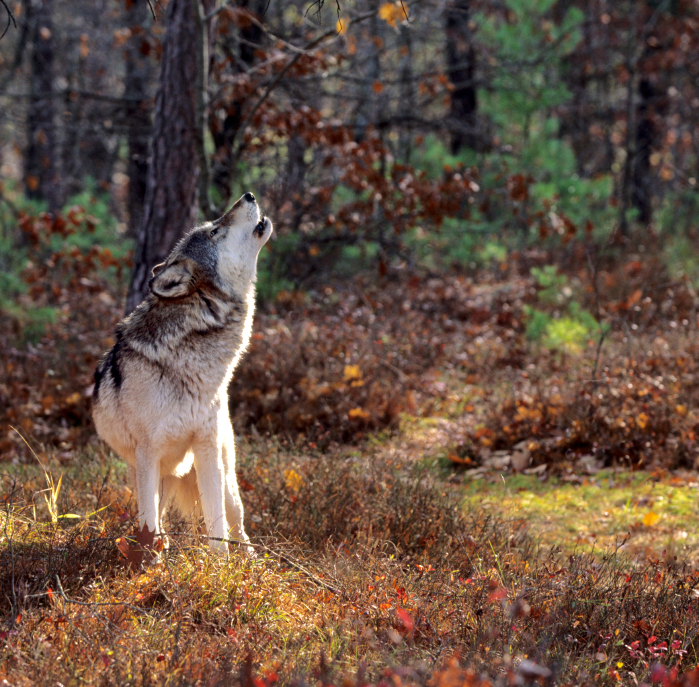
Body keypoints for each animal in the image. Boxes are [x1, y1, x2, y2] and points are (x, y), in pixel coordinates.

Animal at [92, 192, 272, 557]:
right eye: (215, 231)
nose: (248, 195)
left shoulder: (206, 448)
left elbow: (217, 528)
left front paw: (220, 568)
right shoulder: (148, 454)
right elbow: (148, 526)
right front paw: (148, 564)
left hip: (225, 471)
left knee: (238, 525)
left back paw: (251, 563)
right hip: (154, 474)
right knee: (156, 519)